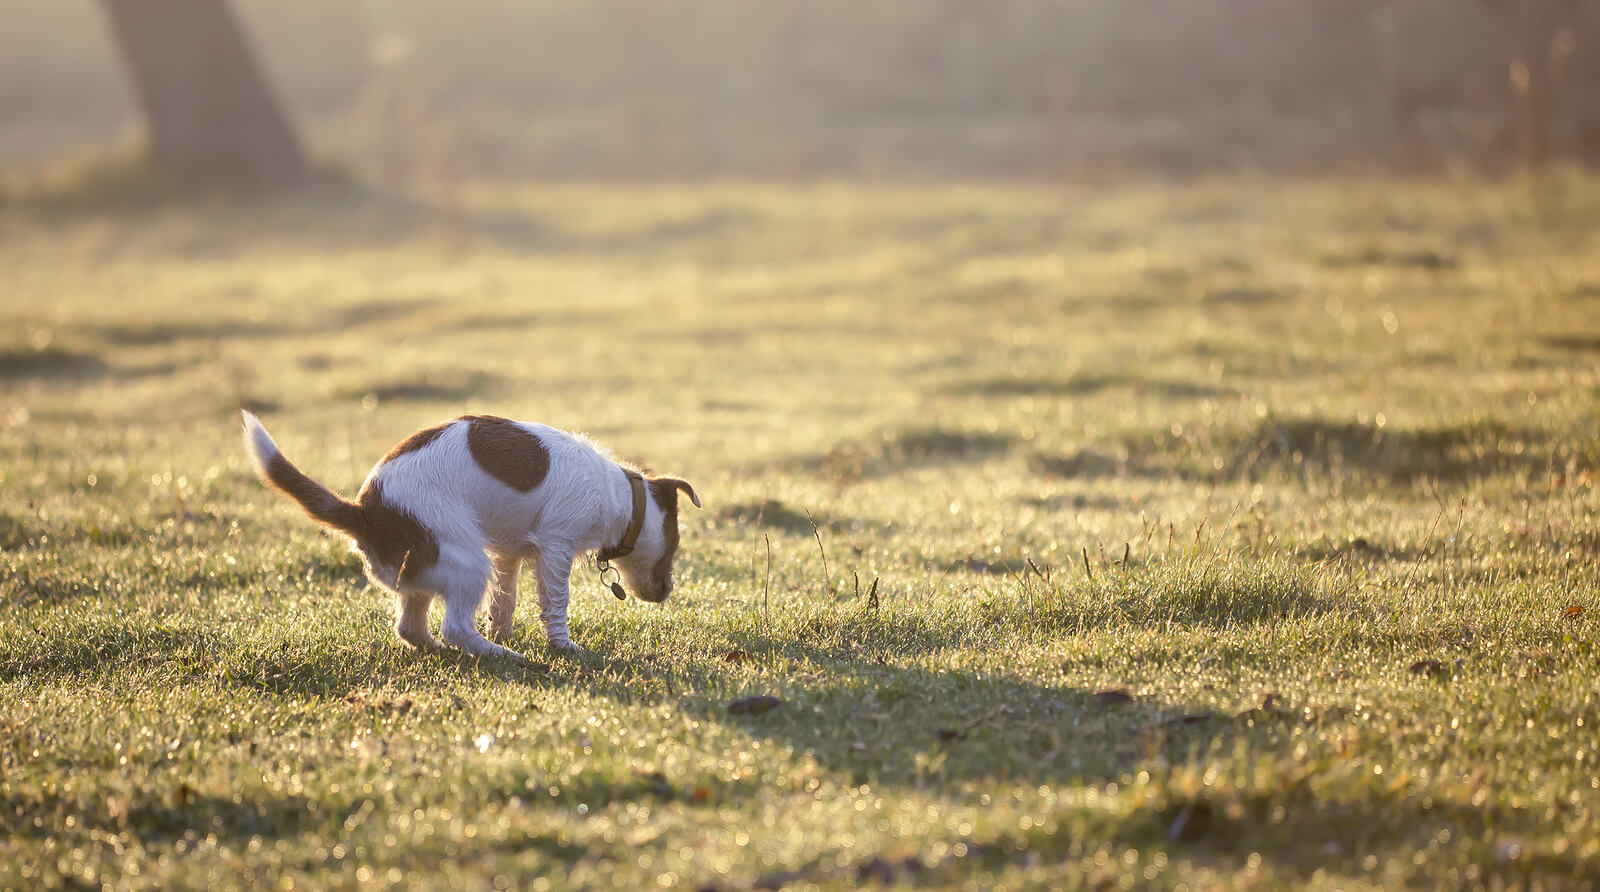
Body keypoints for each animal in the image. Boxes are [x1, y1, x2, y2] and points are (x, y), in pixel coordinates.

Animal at [238, 412, 700, 658]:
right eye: (674, 547)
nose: (666, 593)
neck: (619, 494)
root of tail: (366, 512)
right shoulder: (556, 548)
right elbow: (555, 603)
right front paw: (561, 645)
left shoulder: (510, 555)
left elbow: (504, 600)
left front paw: (502, 630)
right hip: (466, 561)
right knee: (455, 626)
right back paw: (500, 655)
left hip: (428, 571)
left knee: (411, 627)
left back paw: (452, 650)